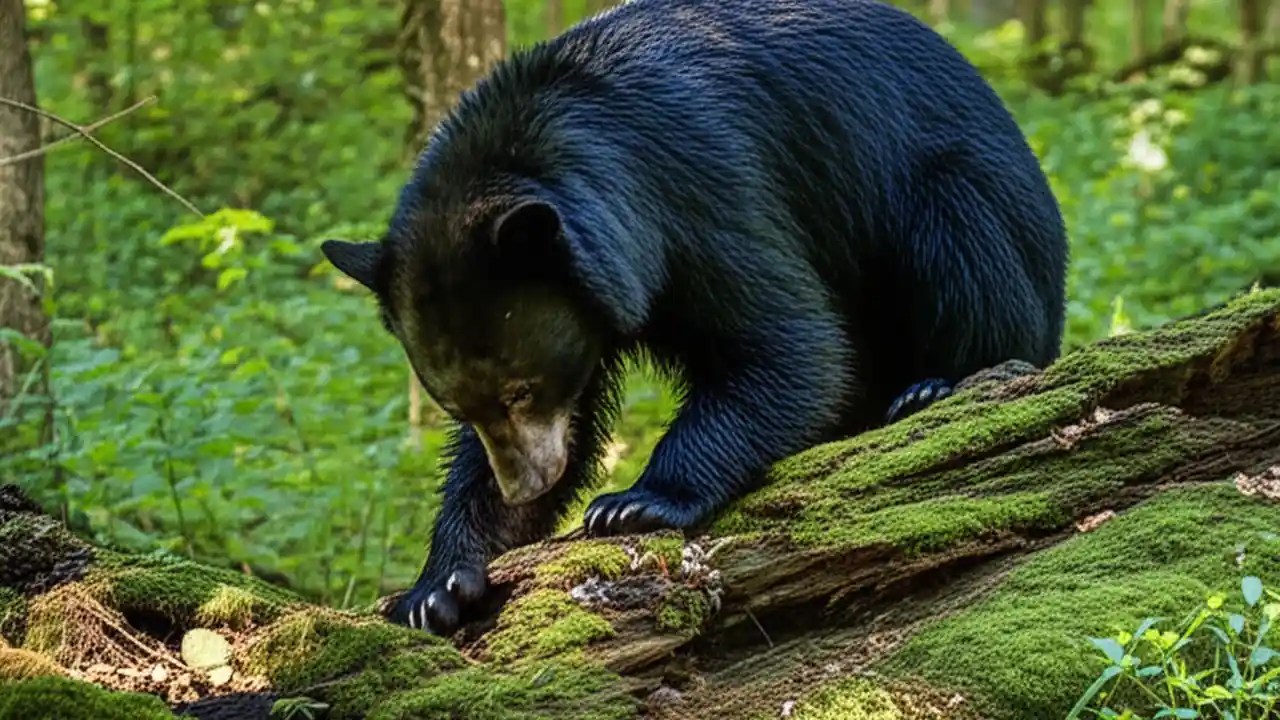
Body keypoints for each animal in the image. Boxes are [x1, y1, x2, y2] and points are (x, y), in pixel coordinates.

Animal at [320, 0, 1069, 634]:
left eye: (522, 389)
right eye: (459, 404)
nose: (530, 482)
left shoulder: (698, 185)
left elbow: (787, 344)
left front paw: (635, 500)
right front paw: (439, 587)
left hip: (964, 202)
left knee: (959, 242)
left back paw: (930, 385)